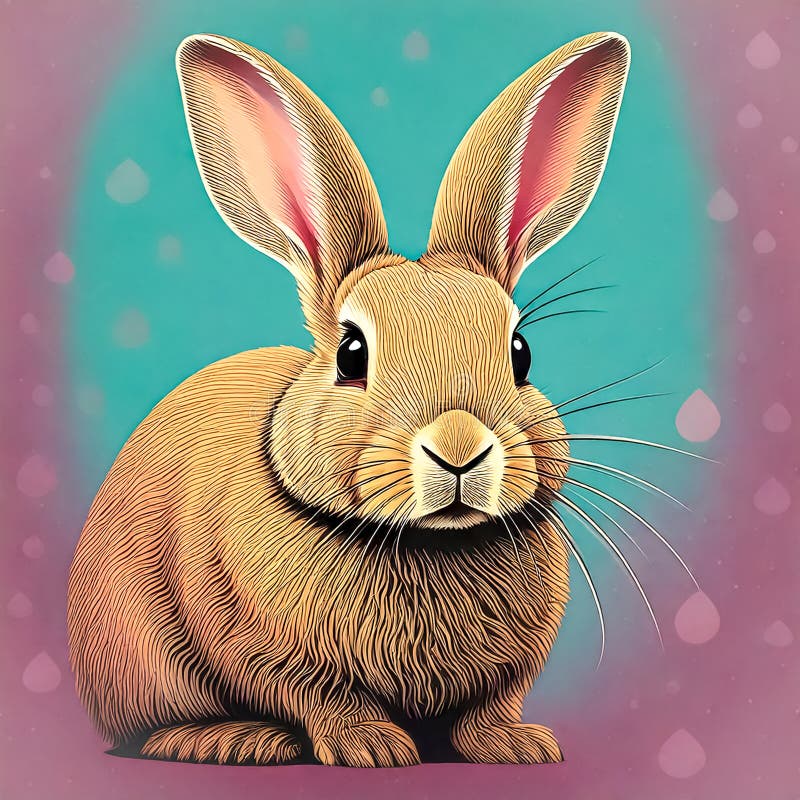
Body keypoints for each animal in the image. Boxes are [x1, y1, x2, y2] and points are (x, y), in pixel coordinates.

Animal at [67, 30, 630, 767]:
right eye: (351, 355)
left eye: (521, 353)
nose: (459, 448)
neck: (428, 544)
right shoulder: (271, 652)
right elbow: (321, 697)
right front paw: (375, 748)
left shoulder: (510, 672)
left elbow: (489, 709)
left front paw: (519, 746)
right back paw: (236, 739)